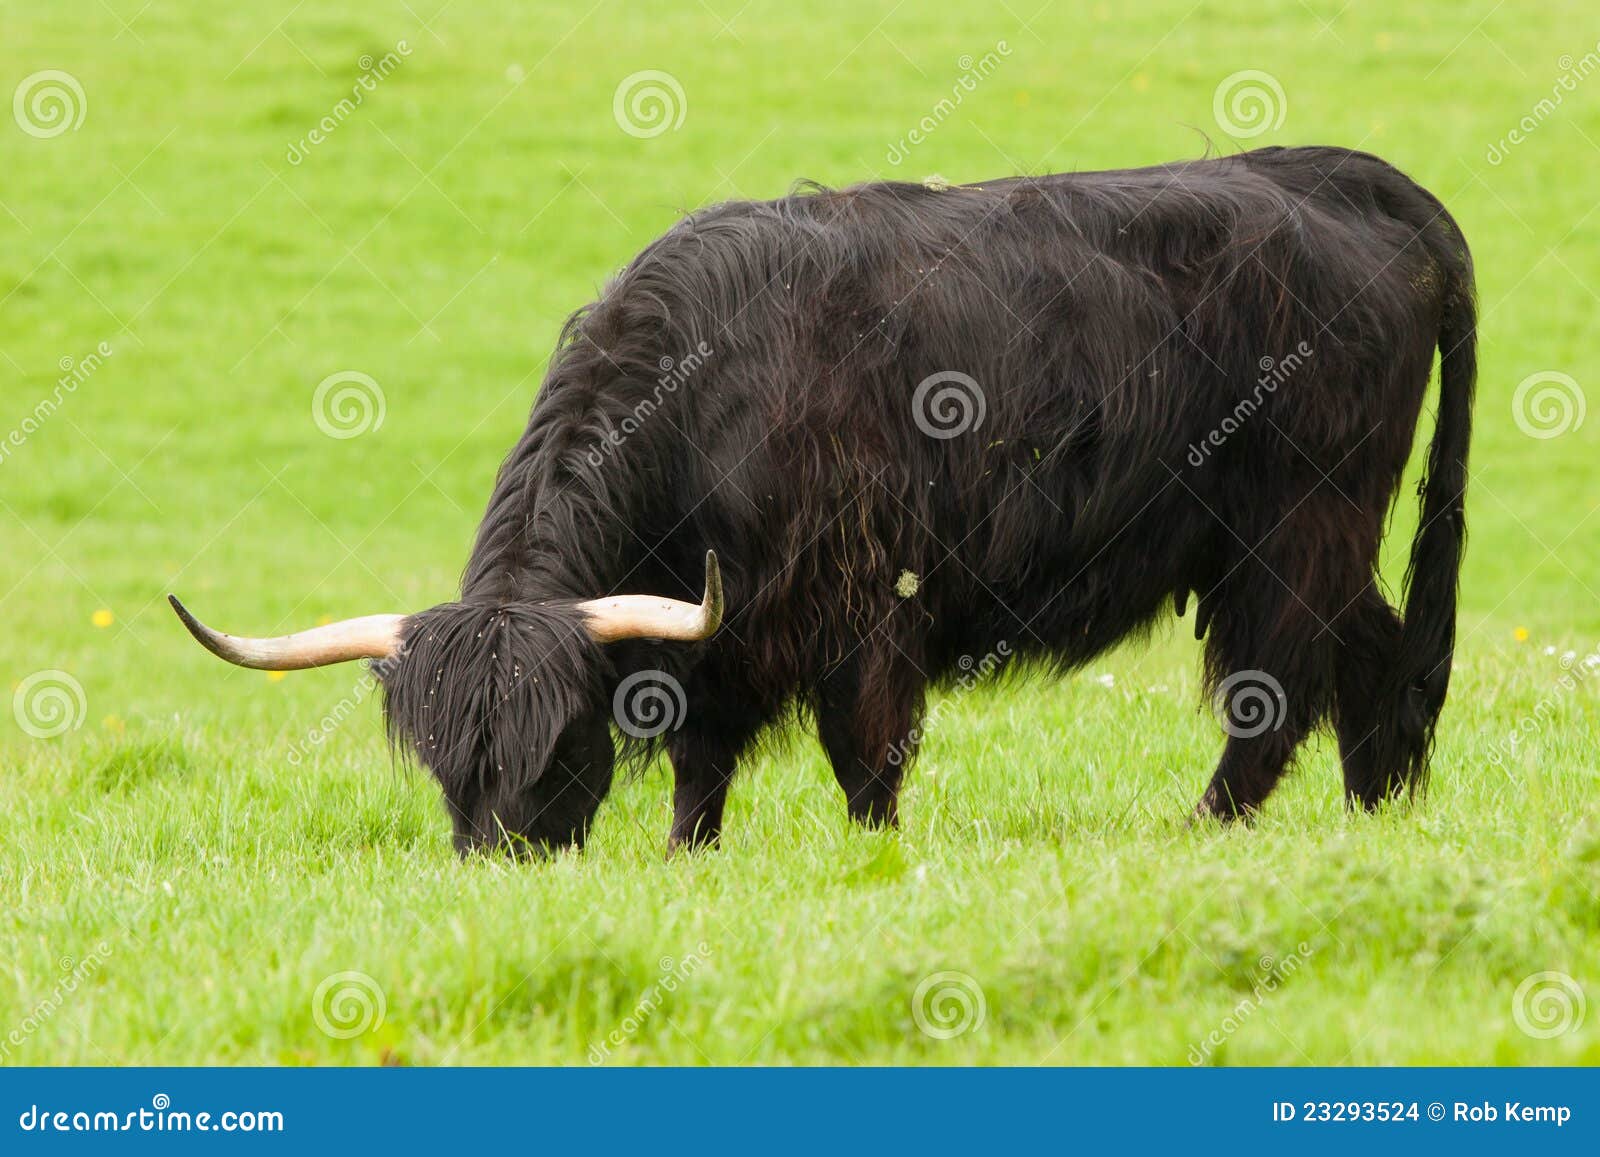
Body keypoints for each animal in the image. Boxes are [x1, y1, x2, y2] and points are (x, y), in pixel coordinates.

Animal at [171, 145, 1476, 858]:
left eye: (558, 745)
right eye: (449, 764)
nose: (502, 862)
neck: (699, 396)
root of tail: (1335, 178)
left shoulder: (861, 609)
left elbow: (865, 760)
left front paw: (872, 859)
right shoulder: (712, 641)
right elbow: (700, 770)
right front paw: (684, 857)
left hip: (1293, 529)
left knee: (1276, 687)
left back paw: (1207, 827)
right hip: (1296, 541)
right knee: (1372, 656)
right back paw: (1376, 811)